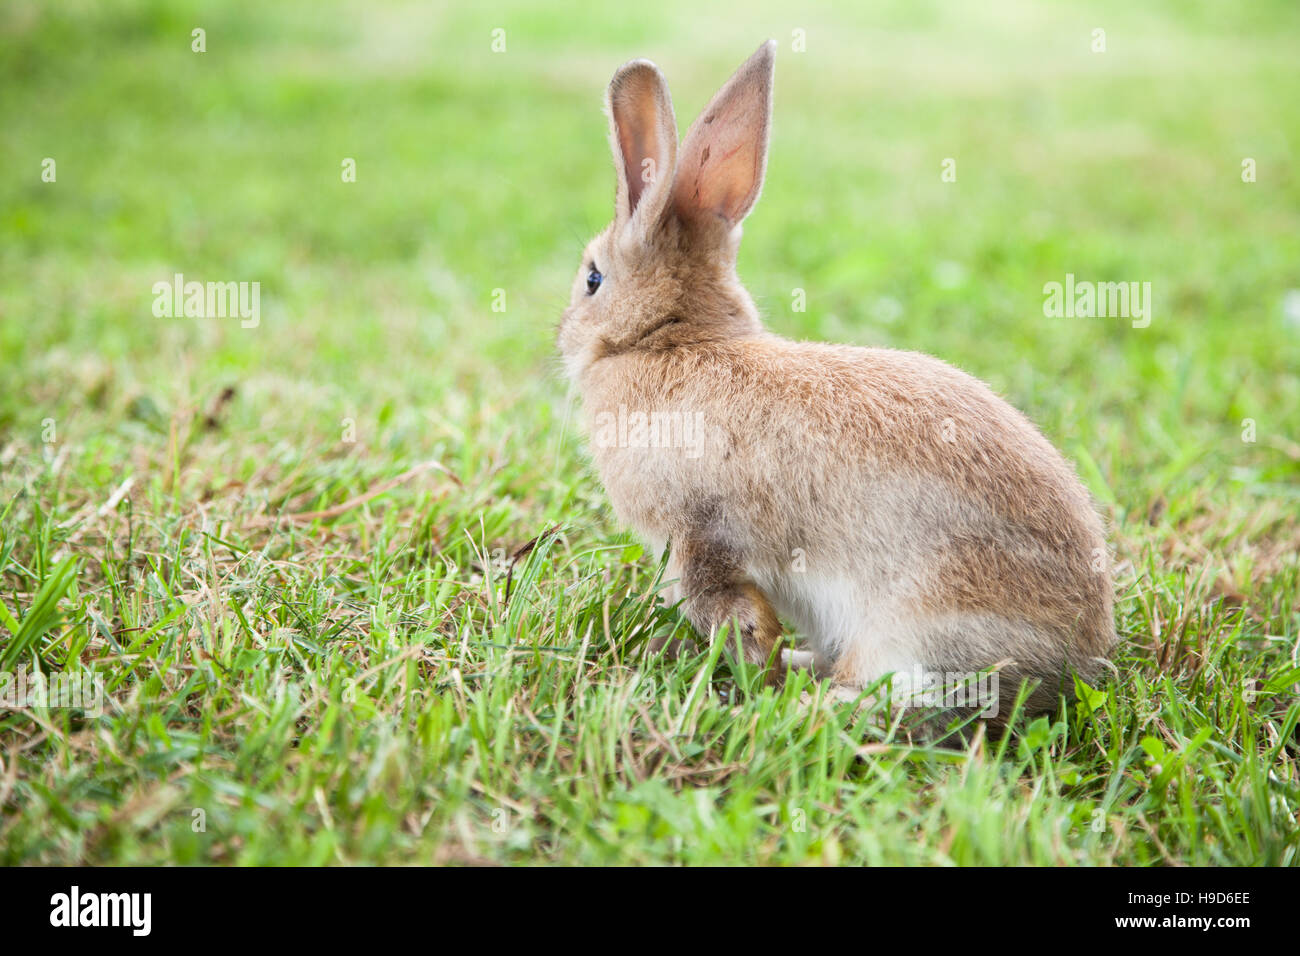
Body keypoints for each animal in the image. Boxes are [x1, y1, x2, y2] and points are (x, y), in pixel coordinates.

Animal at [557, 39, 1116, 724]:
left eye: (592, 279)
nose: (562, 338)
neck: (672, 341)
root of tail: (1074, 662)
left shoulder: (695, 537)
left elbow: (733, 614)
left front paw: (746, 681)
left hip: (915, 626)